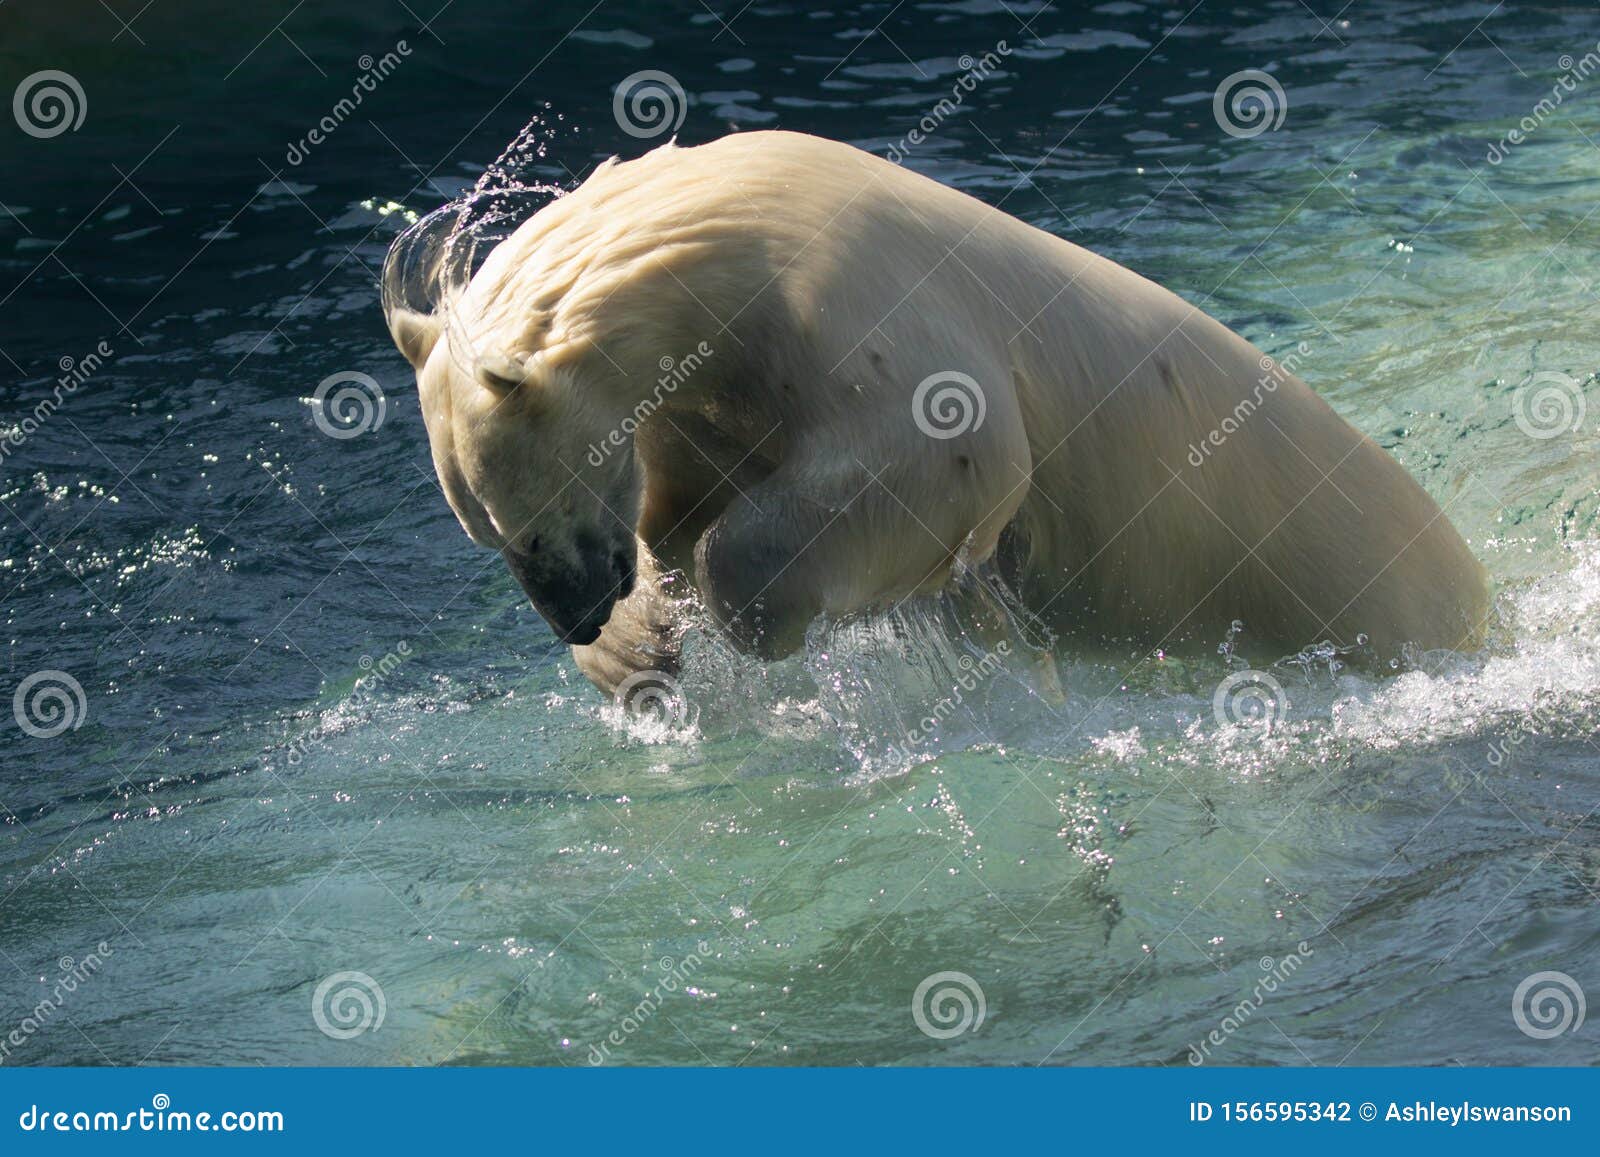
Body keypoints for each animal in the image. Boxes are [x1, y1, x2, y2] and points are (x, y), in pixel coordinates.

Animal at [384, 129, 1488, 695]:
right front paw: (636, 645)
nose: (571, 609)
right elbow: (674, 501)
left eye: (520, 519)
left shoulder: (853, 301)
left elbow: (954, 452)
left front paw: (747, 608)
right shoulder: (709, 402)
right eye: (483, 530)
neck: (734, 218)